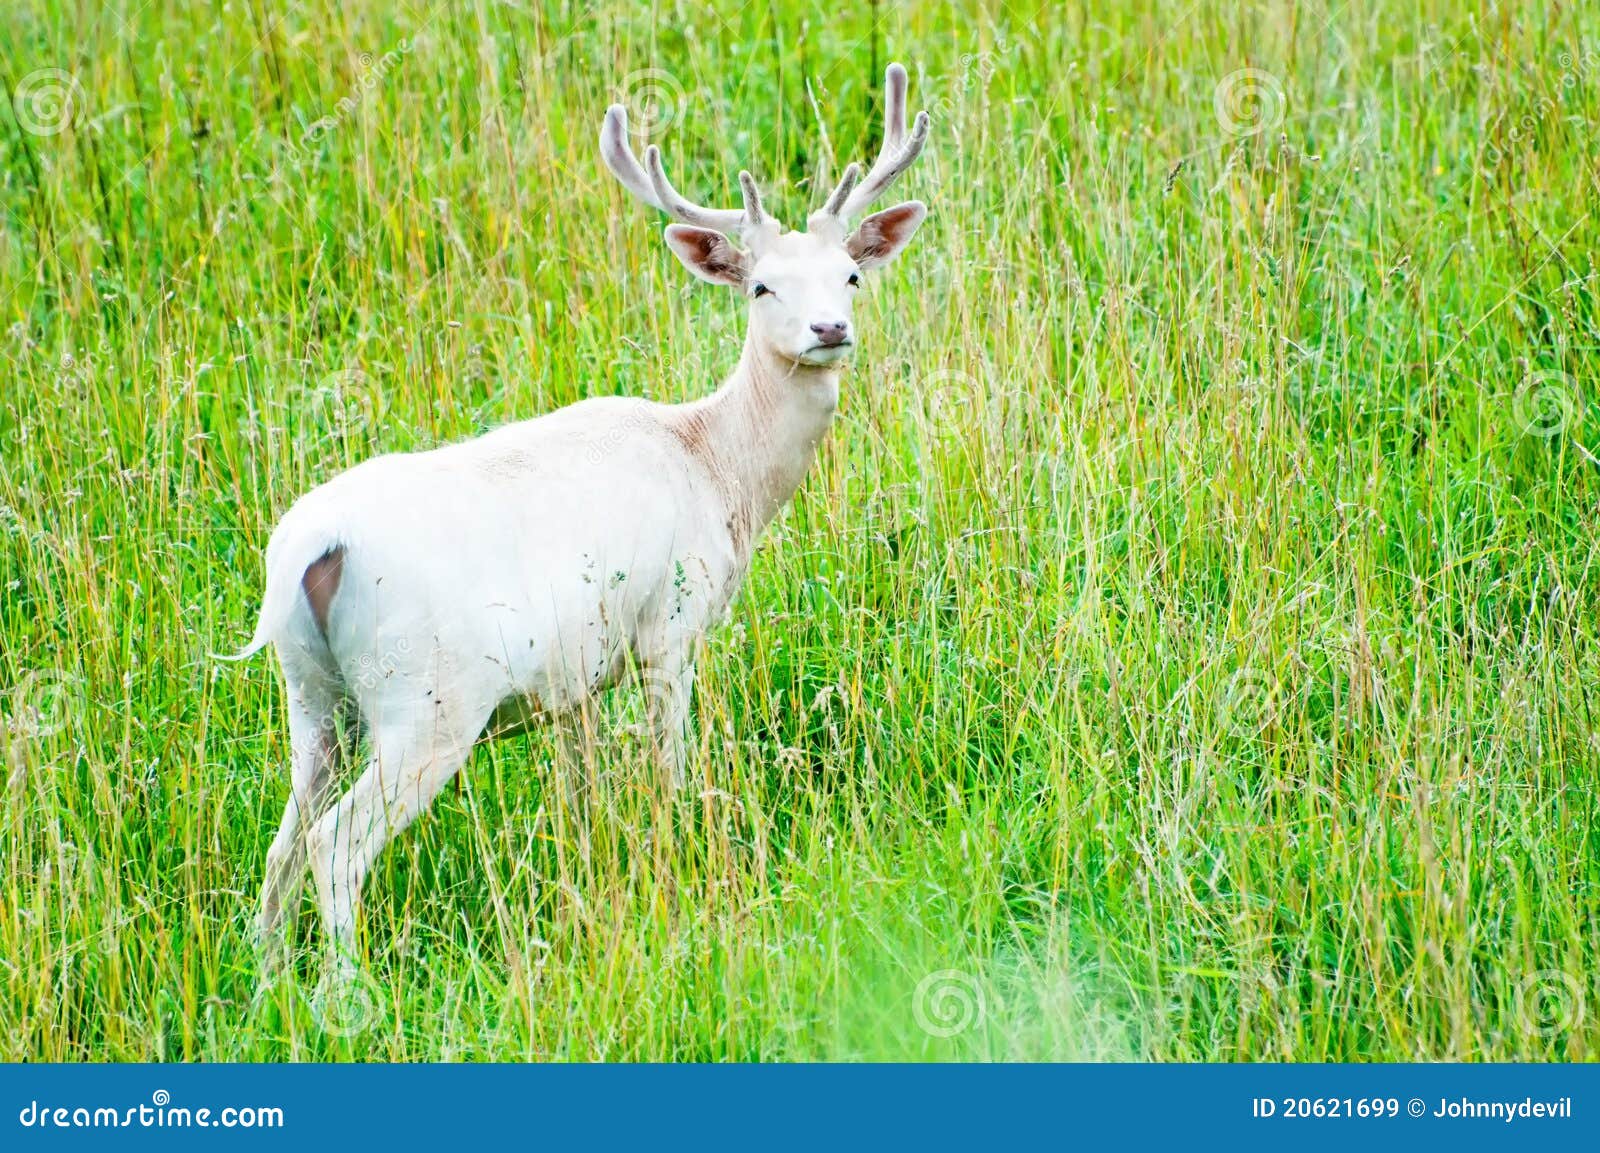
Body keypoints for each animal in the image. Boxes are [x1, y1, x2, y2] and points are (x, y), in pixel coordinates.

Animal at [231, 64, 931, 979]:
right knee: (332, 846)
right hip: (424, 700)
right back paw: (348, 991)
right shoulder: (670, 626)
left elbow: (580, 789)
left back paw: (267, 977)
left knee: (280, 845)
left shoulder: (573, 678)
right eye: (760, 285)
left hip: (312, 697)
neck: (718, 468)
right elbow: (669, 771)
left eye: (850, 274)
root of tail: (308, 548)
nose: (829, 330)